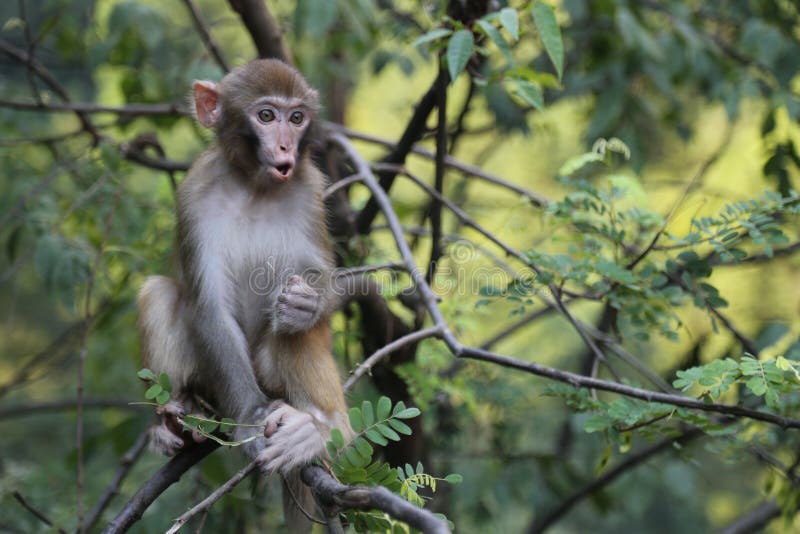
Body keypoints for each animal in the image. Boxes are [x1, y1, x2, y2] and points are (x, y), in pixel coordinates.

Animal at [136, 59, 350, 530]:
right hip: (214, 386)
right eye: (266, 116)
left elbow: (323, 281)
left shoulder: (310, 189)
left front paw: (308, 304)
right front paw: (251, 419)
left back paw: (324, 430)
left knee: (291, 333)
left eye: (296, 117)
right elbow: (209, 308)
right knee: (159, 291)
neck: (255, 186)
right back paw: (176, 418)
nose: (287, 146)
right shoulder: (194, 195)